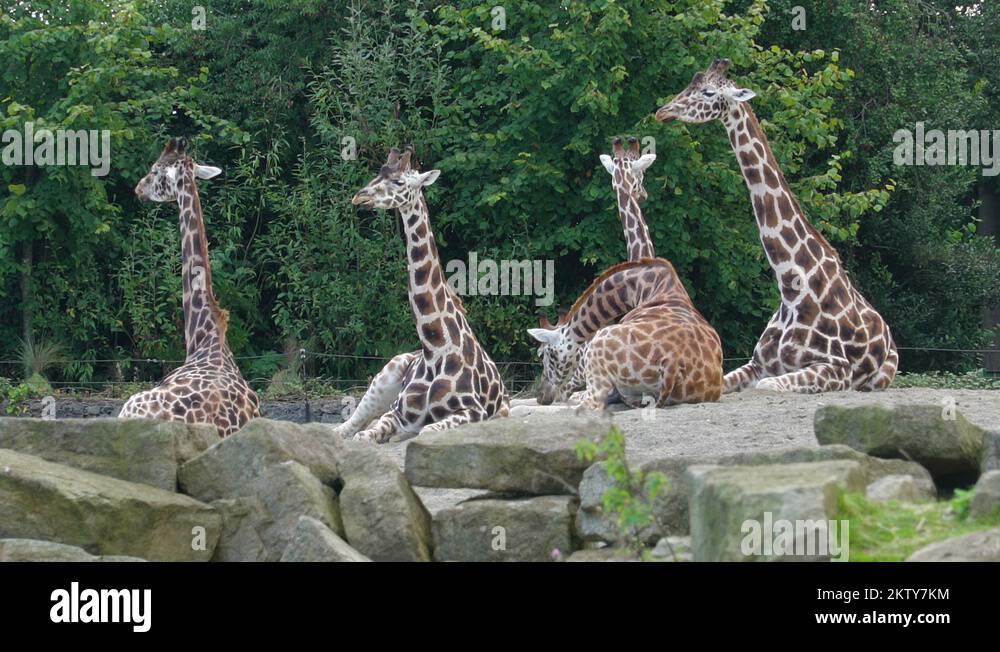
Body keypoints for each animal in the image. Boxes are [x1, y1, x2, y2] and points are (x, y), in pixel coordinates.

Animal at [335, 146, 510, 443]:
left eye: (399, 182)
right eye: (378, 173)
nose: (360, 196)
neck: (434, 349)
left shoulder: (472, 411)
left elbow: (427, 430)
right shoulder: (398, 412)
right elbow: (364, 436)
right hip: (385, 376)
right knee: (346, 427)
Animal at [655, 58, 898, 393]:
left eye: (708, 92)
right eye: (690, 83)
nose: (662, 111)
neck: (791, 288)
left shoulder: (838, 370)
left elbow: (767, 387)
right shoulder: (757, 364)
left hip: (880, 377)